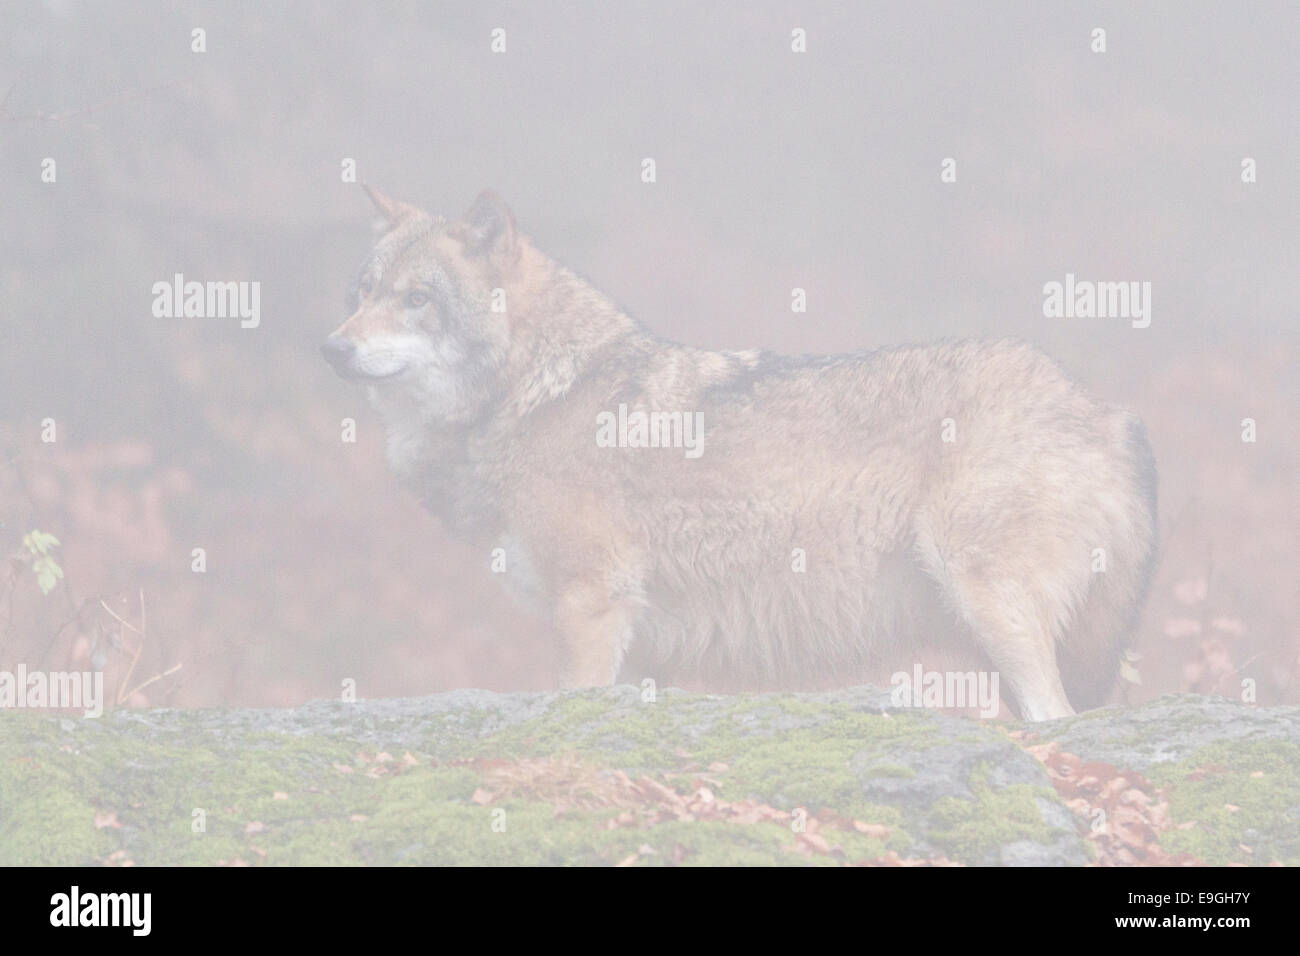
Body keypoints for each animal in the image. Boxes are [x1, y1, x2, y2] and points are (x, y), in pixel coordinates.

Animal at [322, 186, 1158, 721]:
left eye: (417, 300)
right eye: (361, 294)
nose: (331, 347)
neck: (538, 395)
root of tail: (1102, 410)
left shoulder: (593, 603)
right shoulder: (642, 649)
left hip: (988, 599)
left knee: (1057, 718)